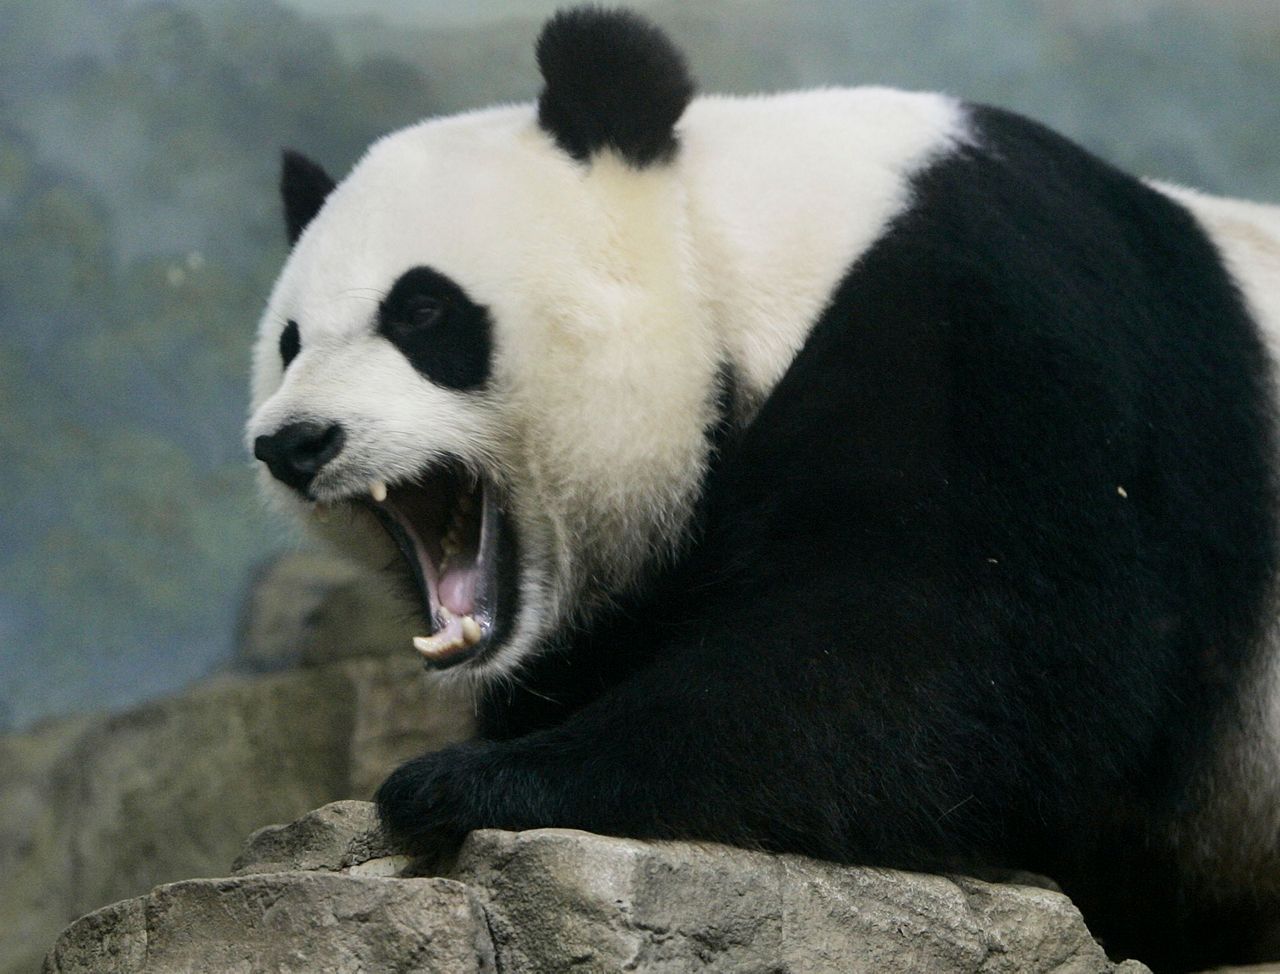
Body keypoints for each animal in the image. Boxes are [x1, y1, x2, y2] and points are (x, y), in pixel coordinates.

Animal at [245, 8, 1280, 970]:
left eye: (422, 310)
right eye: (289, 343)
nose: (293, 443)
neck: (746, 254)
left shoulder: (997, 327)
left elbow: (941, 664)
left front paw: (469, 780)